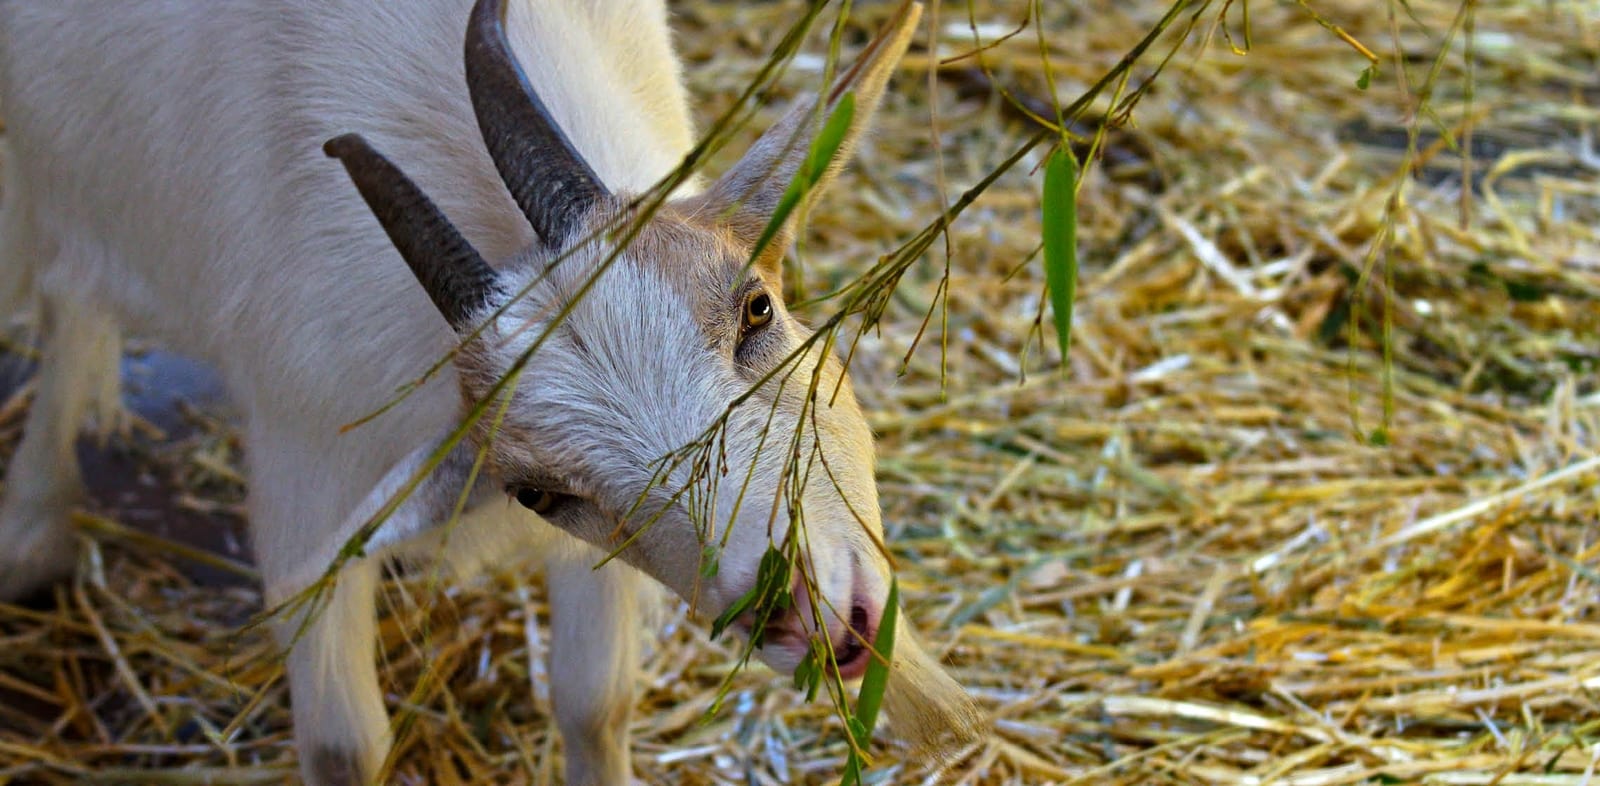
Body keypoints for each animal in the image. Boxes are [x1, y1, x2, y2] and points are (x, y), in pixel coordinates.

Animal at [0, 0, 983, 783]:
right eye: (539, 490)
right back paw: (35, 526)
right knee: (64, 291)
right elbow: (345, 746)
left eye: (756, 309)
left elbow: (596, 704)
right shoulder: (306, 467)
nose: (805, 611)